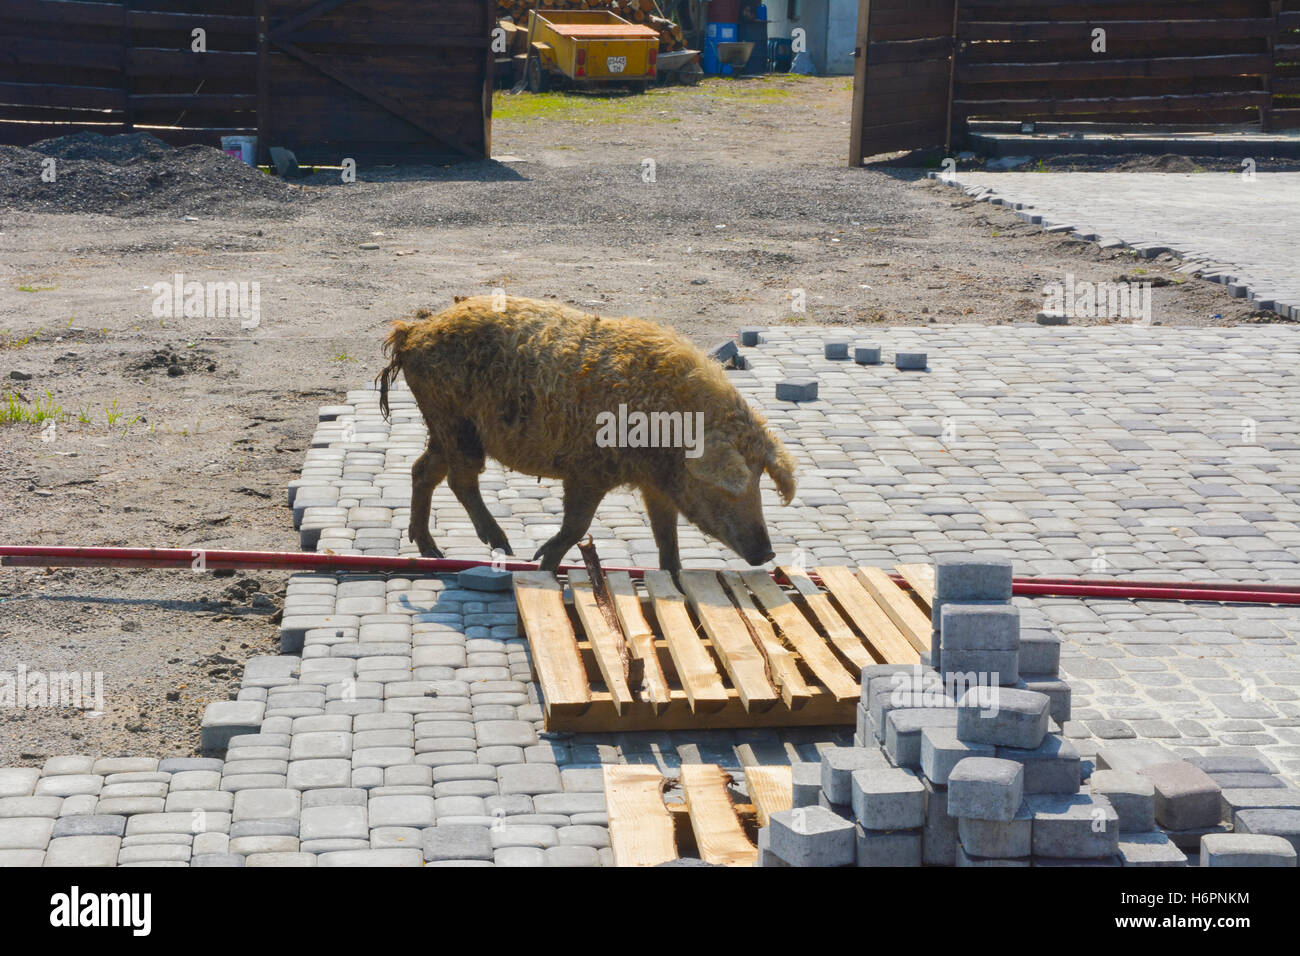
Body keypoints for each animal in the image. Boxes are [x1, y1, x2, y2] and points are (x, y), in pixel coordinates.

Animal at [376, 295, 797, 573]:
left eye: (760, 482)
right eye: (727, 490)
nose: (769, 554)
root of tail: (413, 330)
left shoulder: (655, 485)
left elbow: (666, 533)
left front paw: (672, 573)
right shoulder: (588, 469)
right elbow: (578, 524)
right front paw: (543, 563)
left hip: (443, 426)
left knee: (423, 470)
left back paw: (433, 552)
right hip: (454, 422)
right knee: (458, 479)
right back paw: (503, 548)